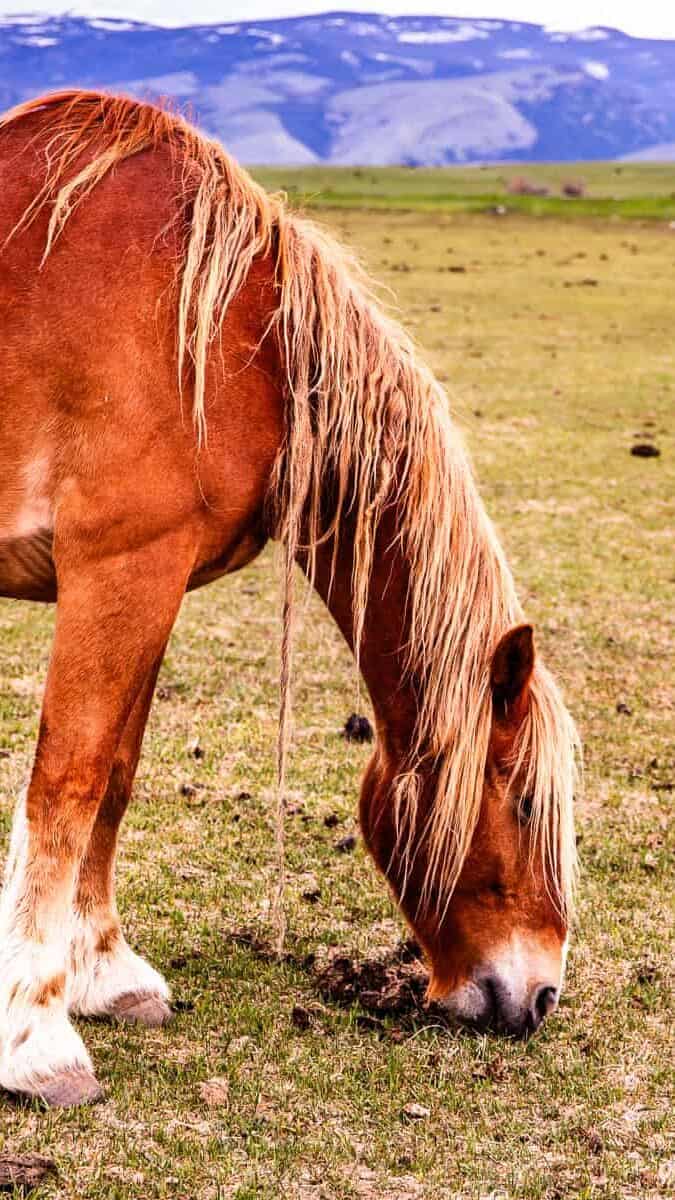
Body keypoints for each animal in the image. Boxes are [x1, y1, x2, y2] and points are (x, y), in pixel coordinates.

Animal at [0, 91, 578, 1104]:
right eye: (517, 806)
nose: (540, 997)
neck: (231, 339)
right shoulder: (119, 569)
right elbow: (67, 785)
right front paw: (37, 1037)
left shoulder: (154, 583)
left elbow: (116, 774)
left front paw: (107, 972)